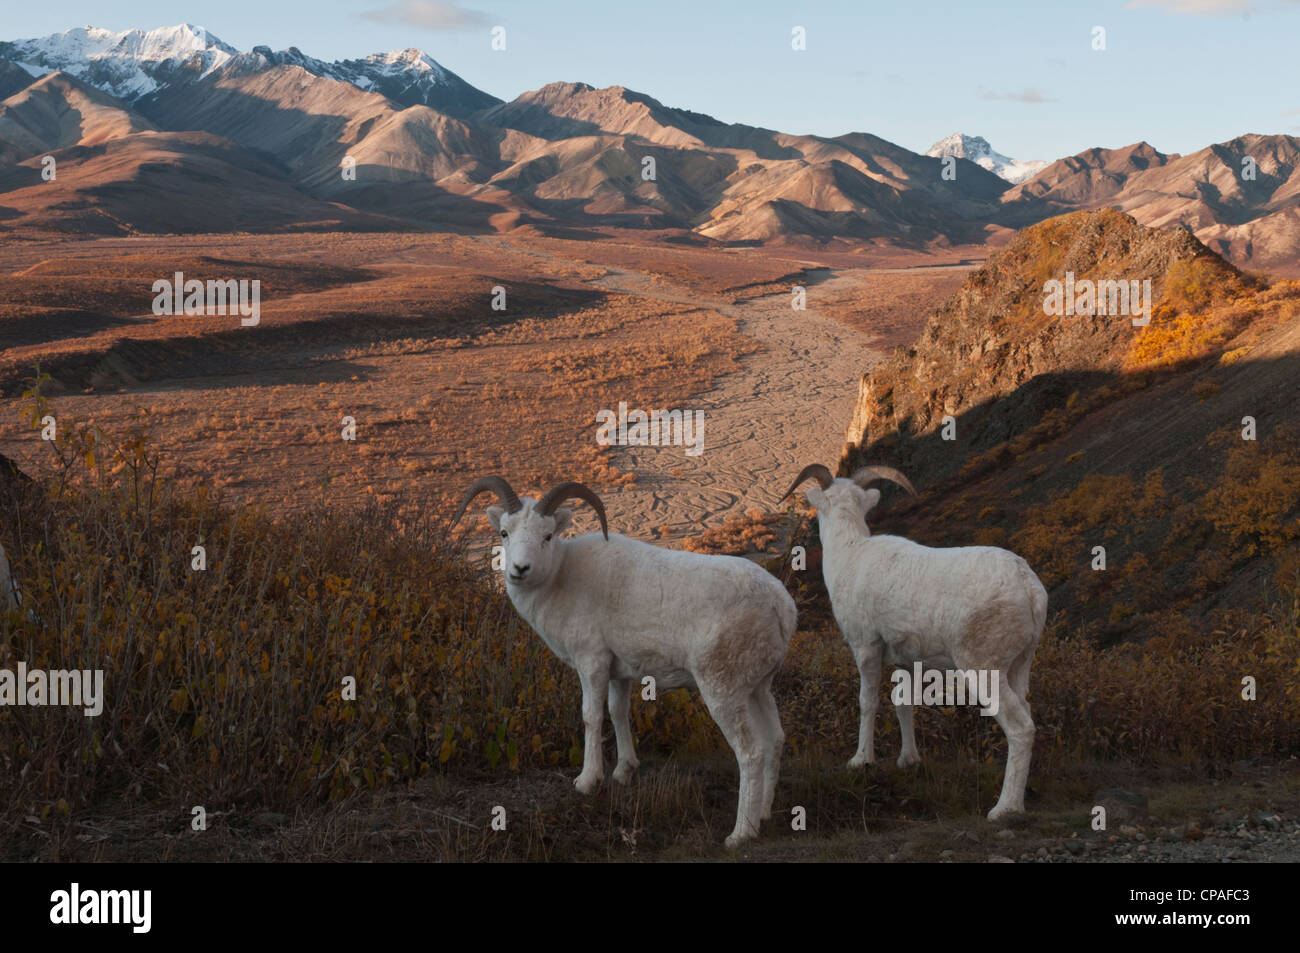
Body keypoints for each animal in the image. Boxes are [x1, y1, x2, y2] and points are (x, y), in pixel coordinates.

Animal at [453, 475, 797, 847]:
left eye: (547, 535)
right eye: (504, 532)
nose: (519, 569)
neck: (561, 577)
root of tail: (780, 605)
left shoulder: (592, 662)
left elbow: (591, 717)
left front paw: (587, 782)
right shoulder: (620, 671)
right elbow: (618, 712)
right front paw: (624, 773)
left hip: (724, 690)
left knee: (751, 752)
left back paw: (740, 834)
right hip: (758, 688)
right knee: (775, 740)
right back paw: (763, 814)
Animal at [778, 463, 1047, 820]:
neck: (850, 555)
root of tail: (1029, 589)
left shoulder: (866, 647)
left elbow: (868, 701)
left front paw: (861, 760)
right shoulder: (905, 659)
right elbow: (903, 703)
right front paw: (908, 761)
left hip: (982, 669)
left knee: (1020, 728)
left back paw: (1004, 810)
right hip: (1019, 665)